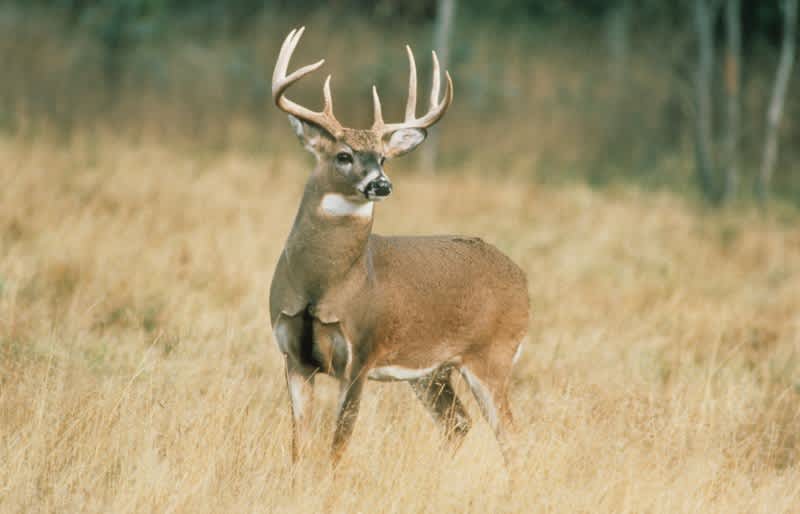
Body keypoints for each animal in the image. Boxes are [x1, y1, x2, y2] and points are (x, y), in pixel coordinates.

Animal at [269, 27, 529, 467]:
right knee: (458, 423)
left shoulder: (361, 350)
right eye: (343, 155)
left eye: (384, 159)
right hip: (434, 371)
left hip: (492, 354)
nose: (381, 184)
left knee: (511, 437)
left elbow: (339, 443)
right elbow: (298, 445)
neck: (320, 286)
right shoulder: (293, 355)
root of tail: (523, 280)